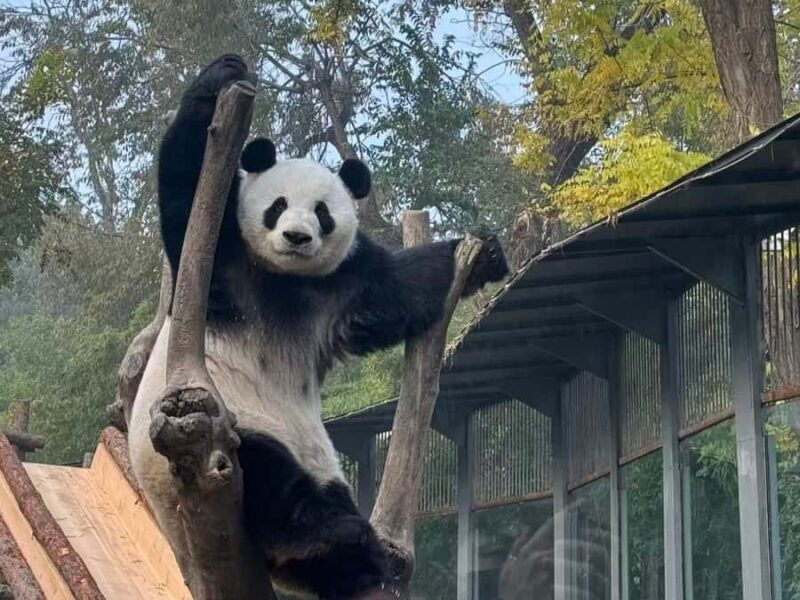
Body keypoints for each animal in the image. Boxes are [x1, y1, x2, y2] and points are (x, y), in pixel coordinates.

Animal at [128, 54, 508, 599]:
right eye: (278, 206)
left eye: (323, 213)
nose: (296, 237)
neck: (284, 279)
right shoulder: (221, 264)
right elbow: (185, 181)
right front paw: (221, 75)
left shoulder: (341, 285)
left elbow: (398, 290)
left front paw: (484, 255)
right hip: (210, 425)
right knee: (266, 475)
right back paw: (318, 535)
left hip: (316, 464)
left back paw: (353, 559)